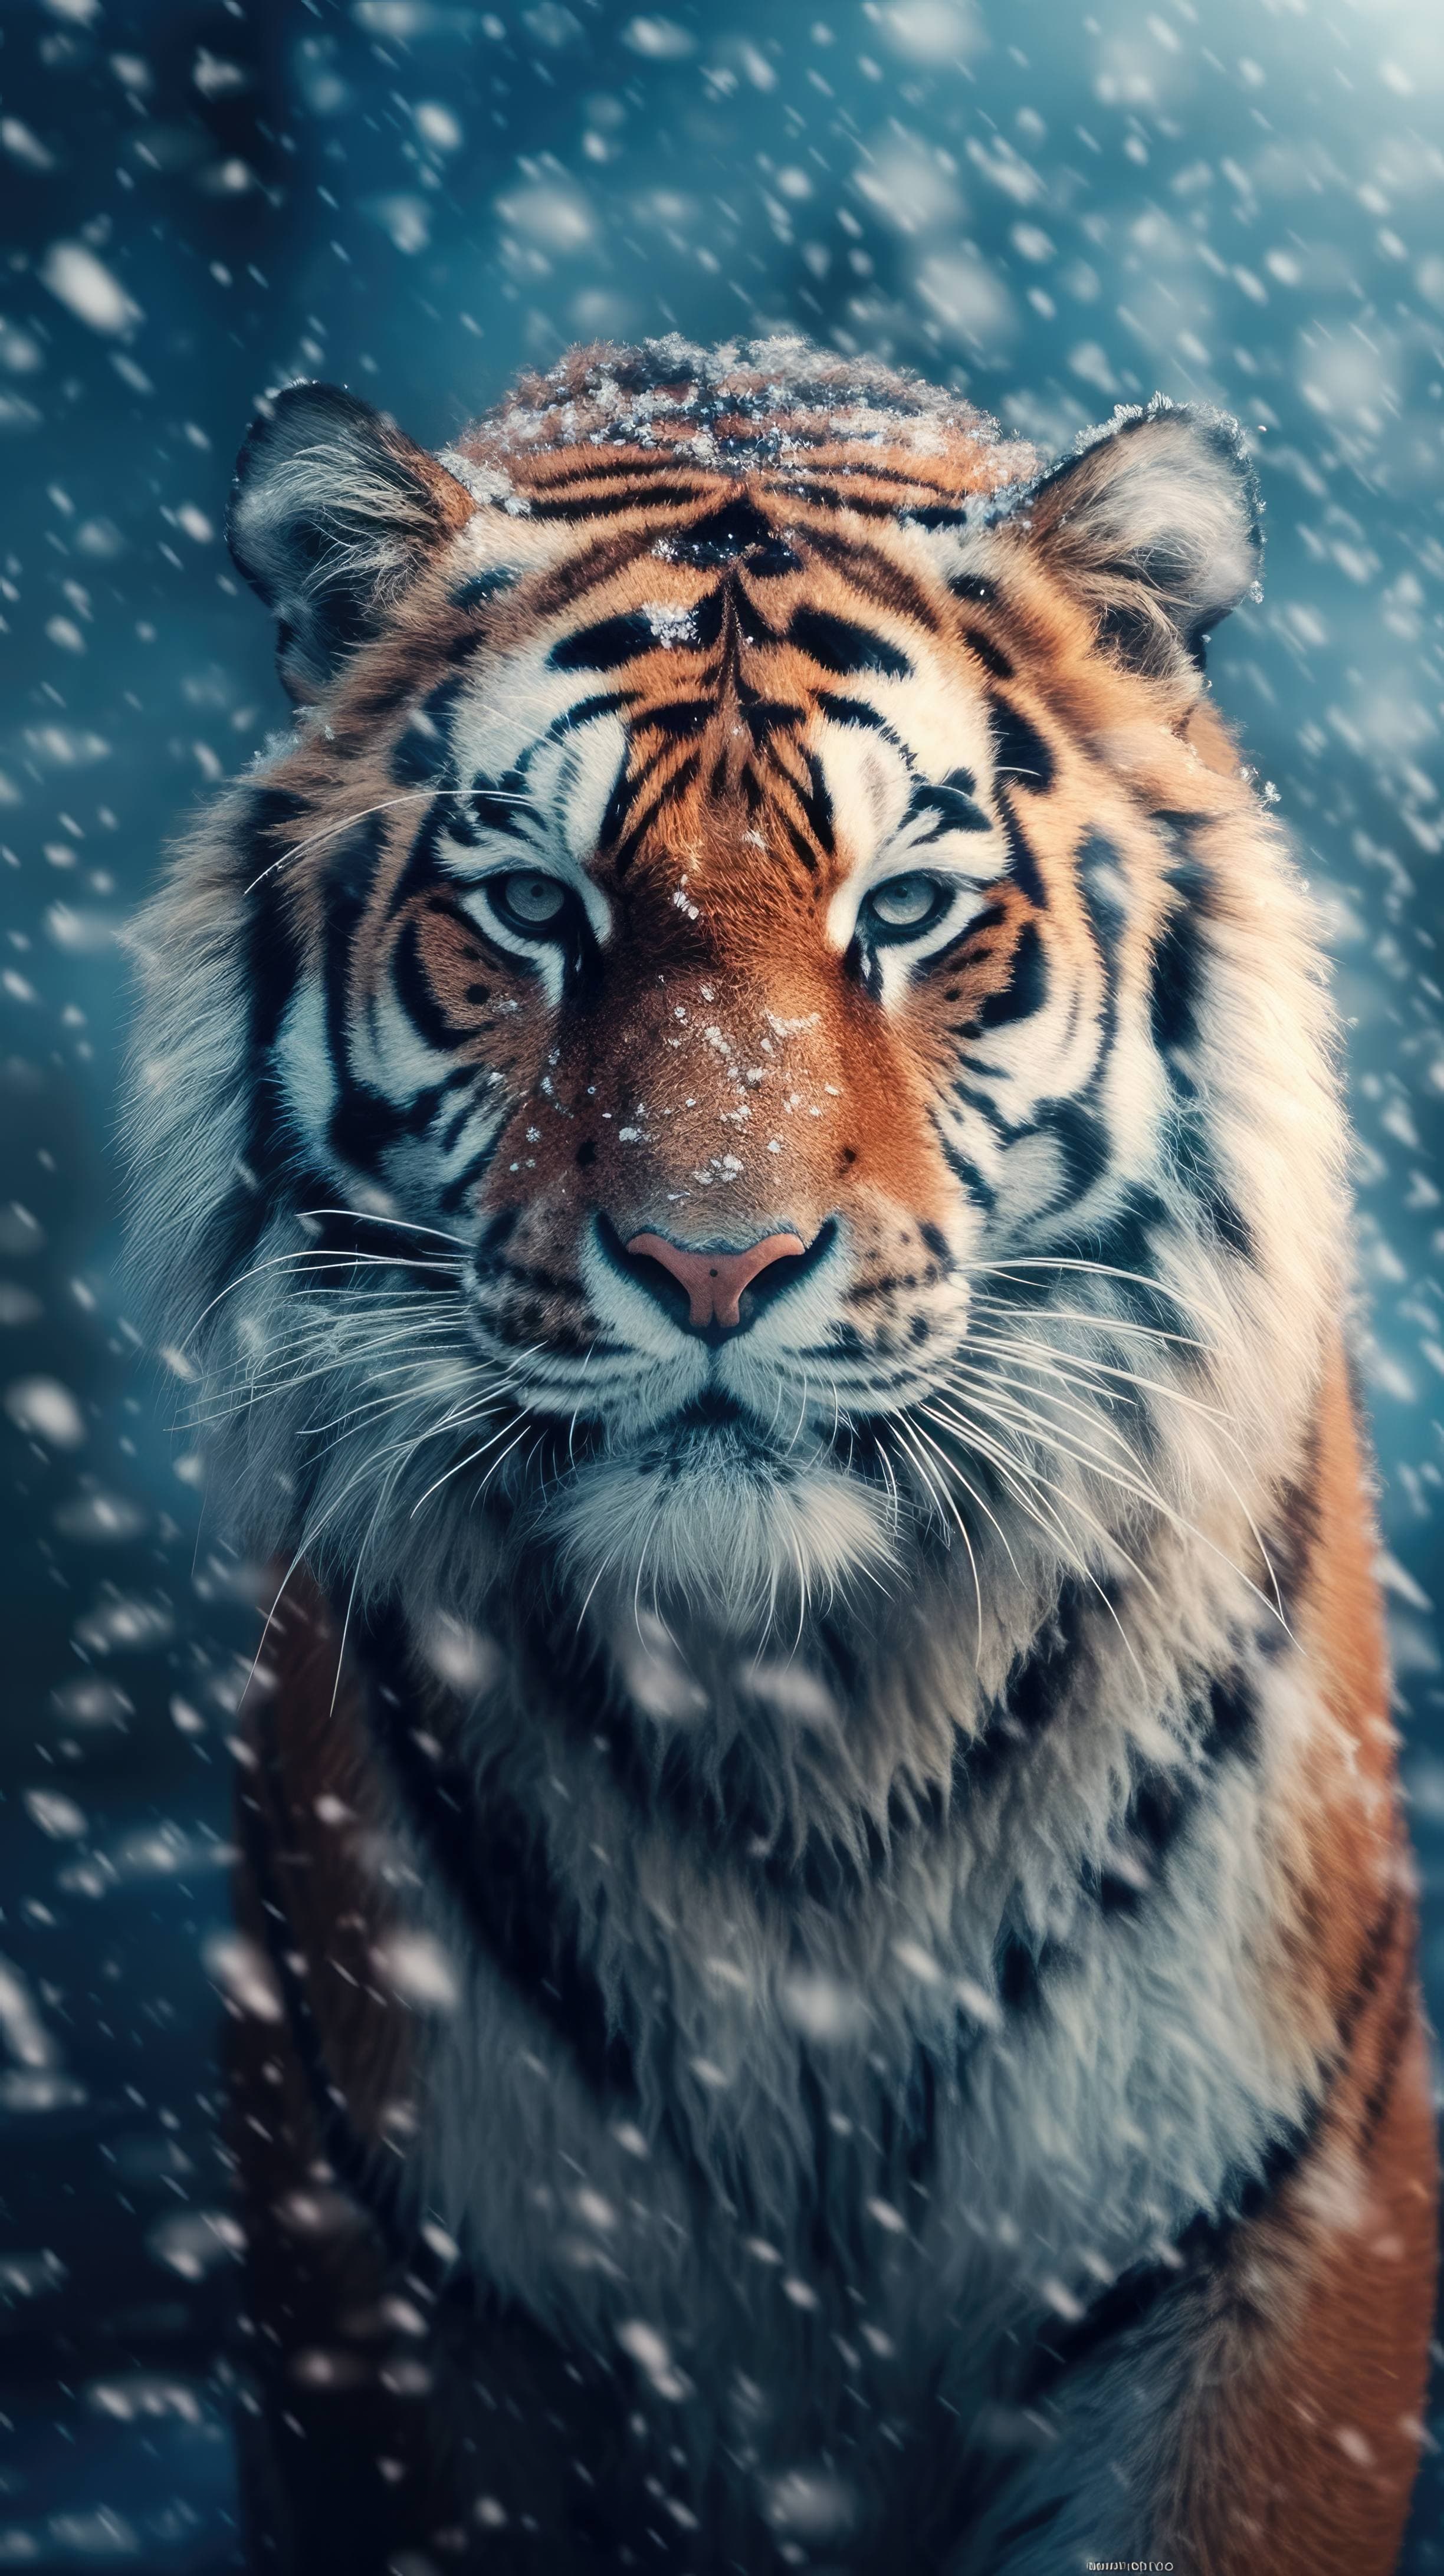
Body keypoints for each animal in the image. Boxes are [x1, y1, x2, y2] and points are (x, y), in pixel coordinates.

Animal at [125, 336, 1437, 2575]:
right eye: (531, 911)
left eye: (903, 911)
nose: (709, 1262)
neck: (802, 1738)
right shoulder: (408, 2297)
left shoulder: (1246, 2250)